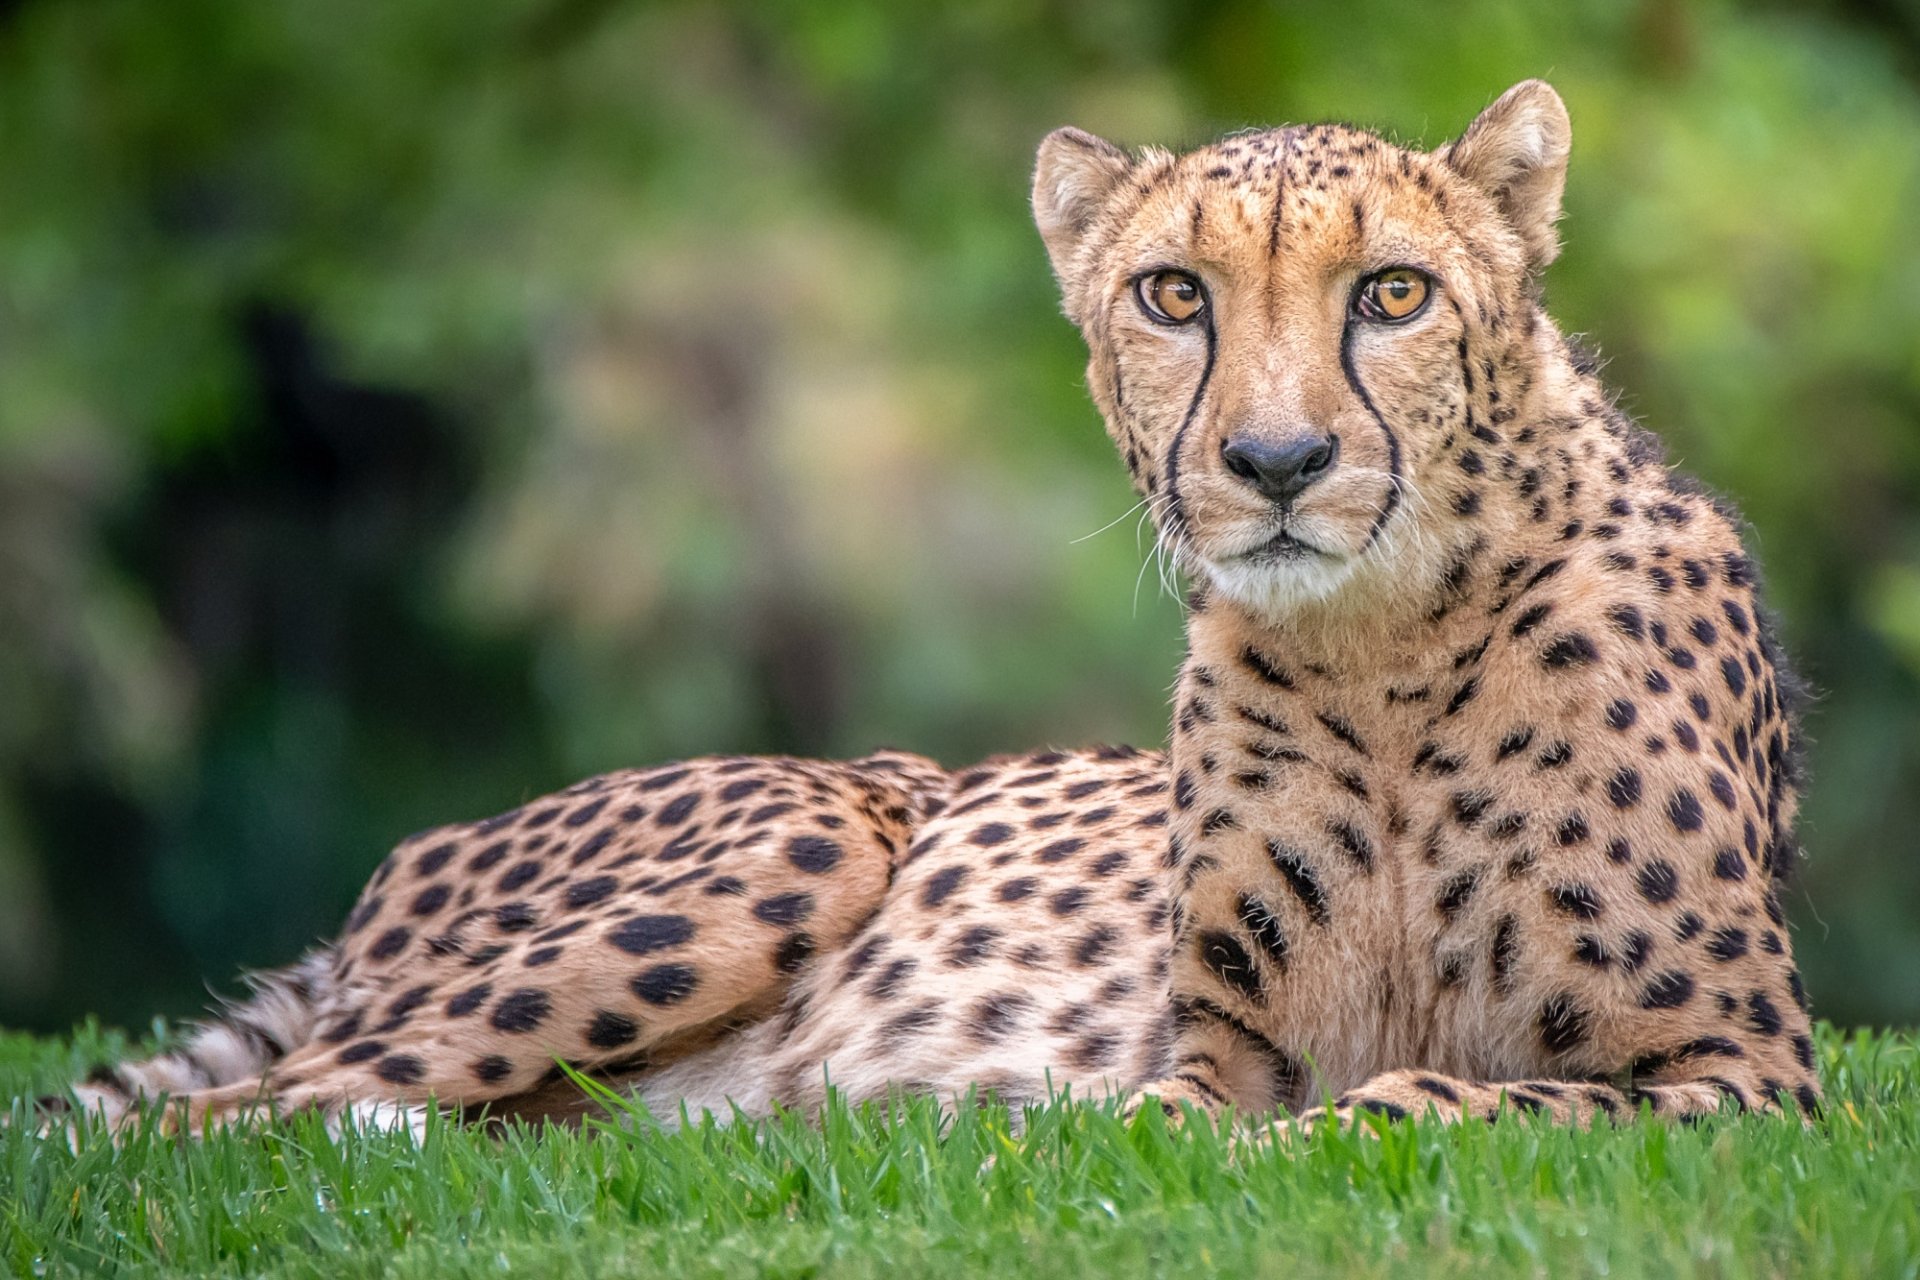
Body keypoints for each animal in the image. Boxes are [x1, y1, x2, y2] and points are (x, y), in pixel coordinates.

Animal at [30, 79, 1817, 1137]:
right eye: (1175, 293)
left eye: (1393, 293)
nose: (1277, 462)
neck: (1385, 644)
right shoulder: (1218, 1050)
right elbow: (1211, 1117)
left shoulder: (1755, 1074)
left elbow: (1484, 1098)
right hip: (812, 824)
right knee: (210, 1125)